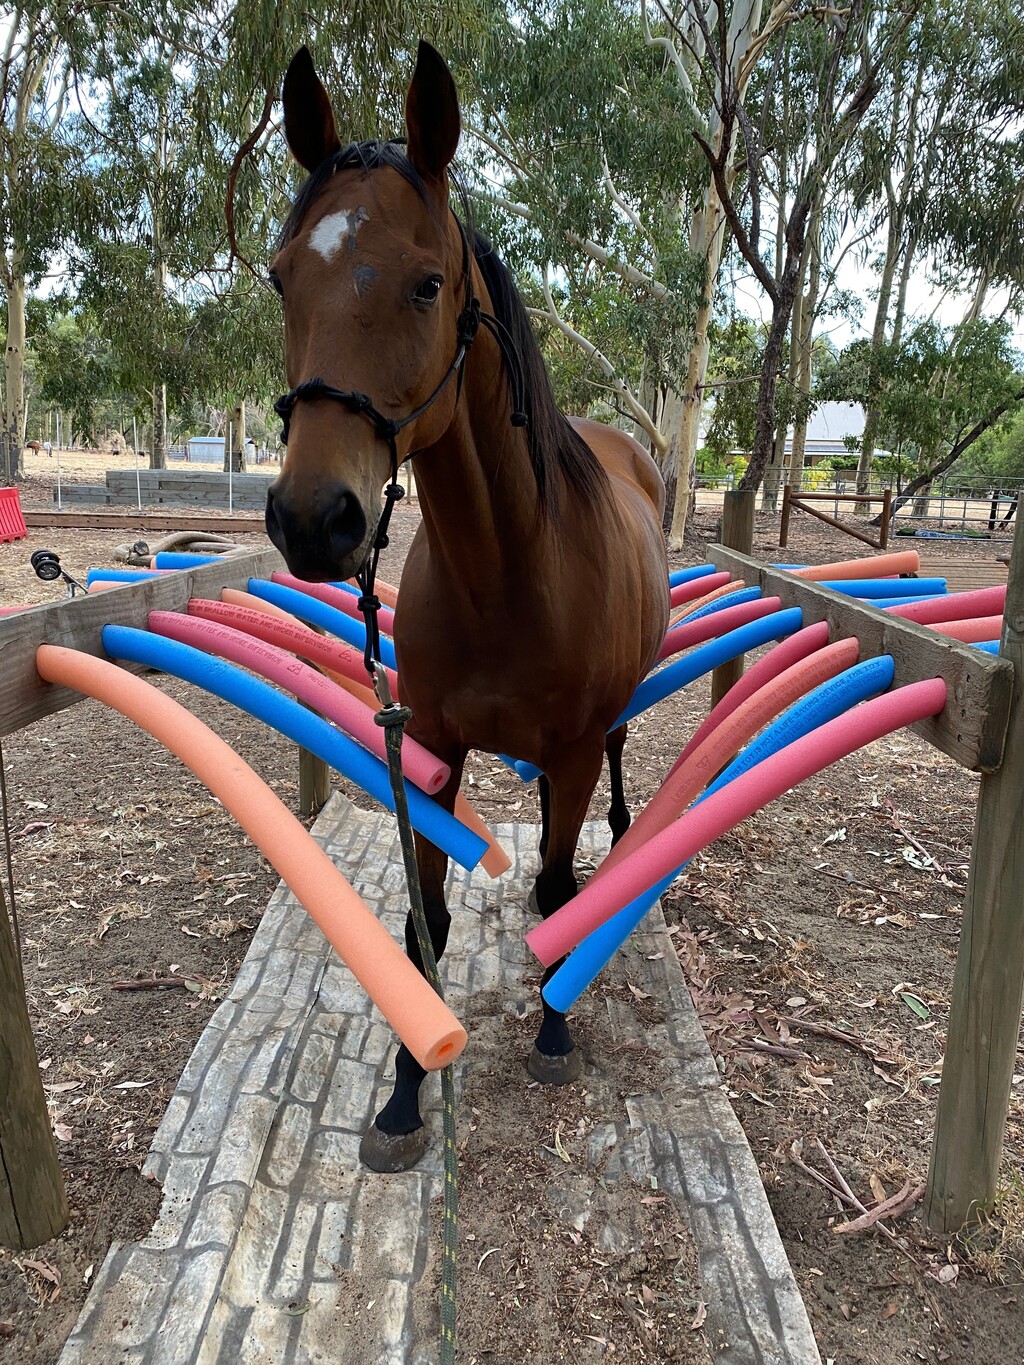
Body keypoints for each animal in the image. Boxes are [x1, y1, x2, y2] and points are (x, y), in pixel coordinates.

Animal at [266, 41, 670, 1171]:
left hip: (604, 734)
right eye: (281, 276)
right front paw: (407, 1092)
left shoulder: (566, 752)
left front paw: (554, 1031)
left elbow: (555, 893)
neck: (510, 576)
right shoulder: (434, 751)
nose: (313, 518)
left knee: (606, 784)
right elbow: (425, 924)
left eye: (427, 282)